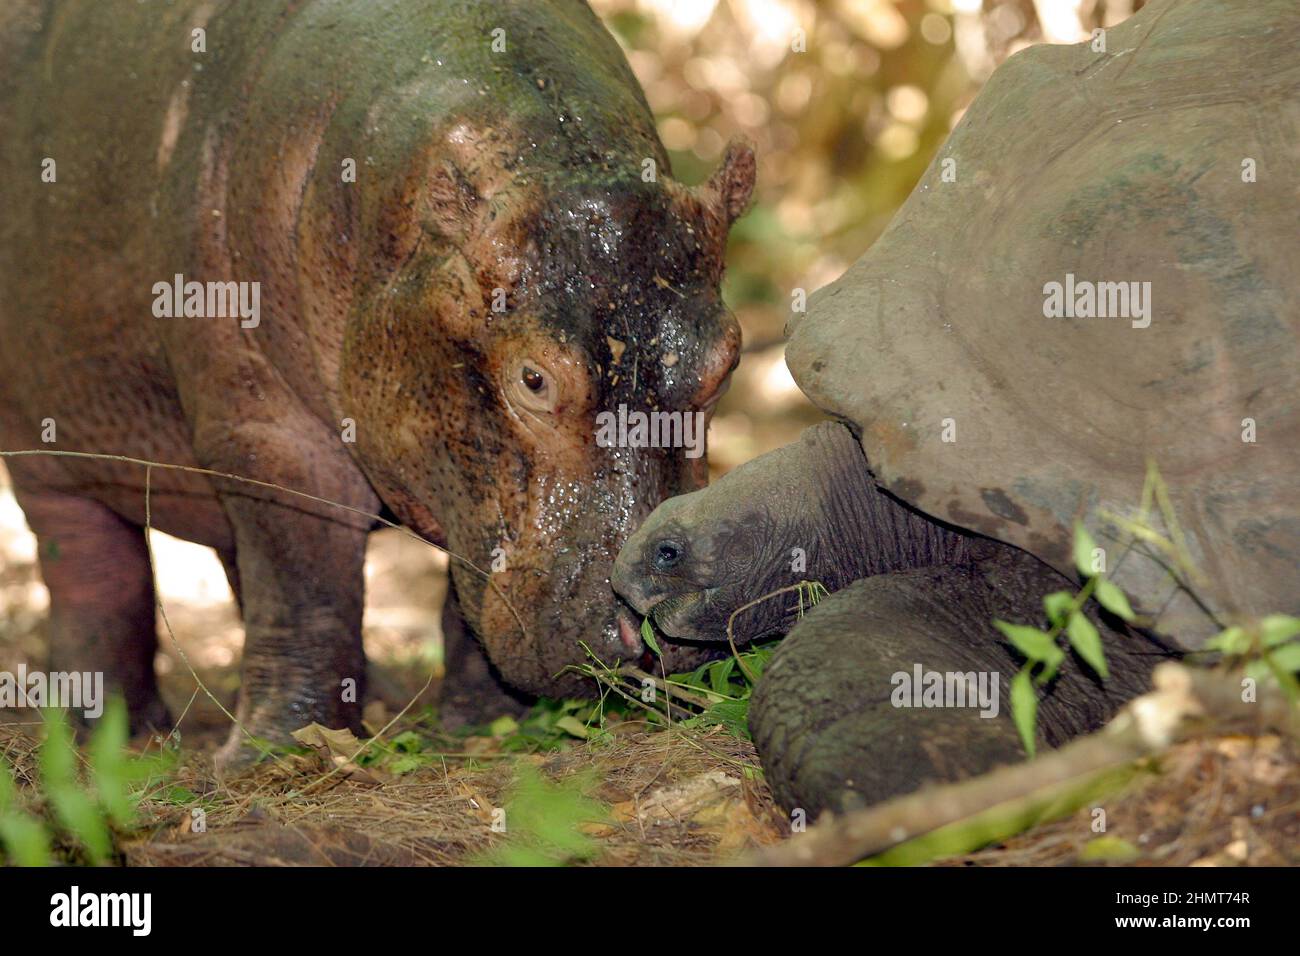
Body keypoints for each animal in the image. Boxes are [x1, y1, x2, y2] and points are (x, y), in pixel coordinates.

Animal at [0, 0, 754, 765]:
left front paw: (484, 725)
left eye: (727, 362)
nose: (652, 618)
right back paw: (108, 732)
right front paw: (276, 753)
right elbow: (304, 585)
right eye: (533, 379)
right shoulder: (272, 433)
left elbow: (456, 592)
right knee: (92, 569)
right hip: (47, 454)